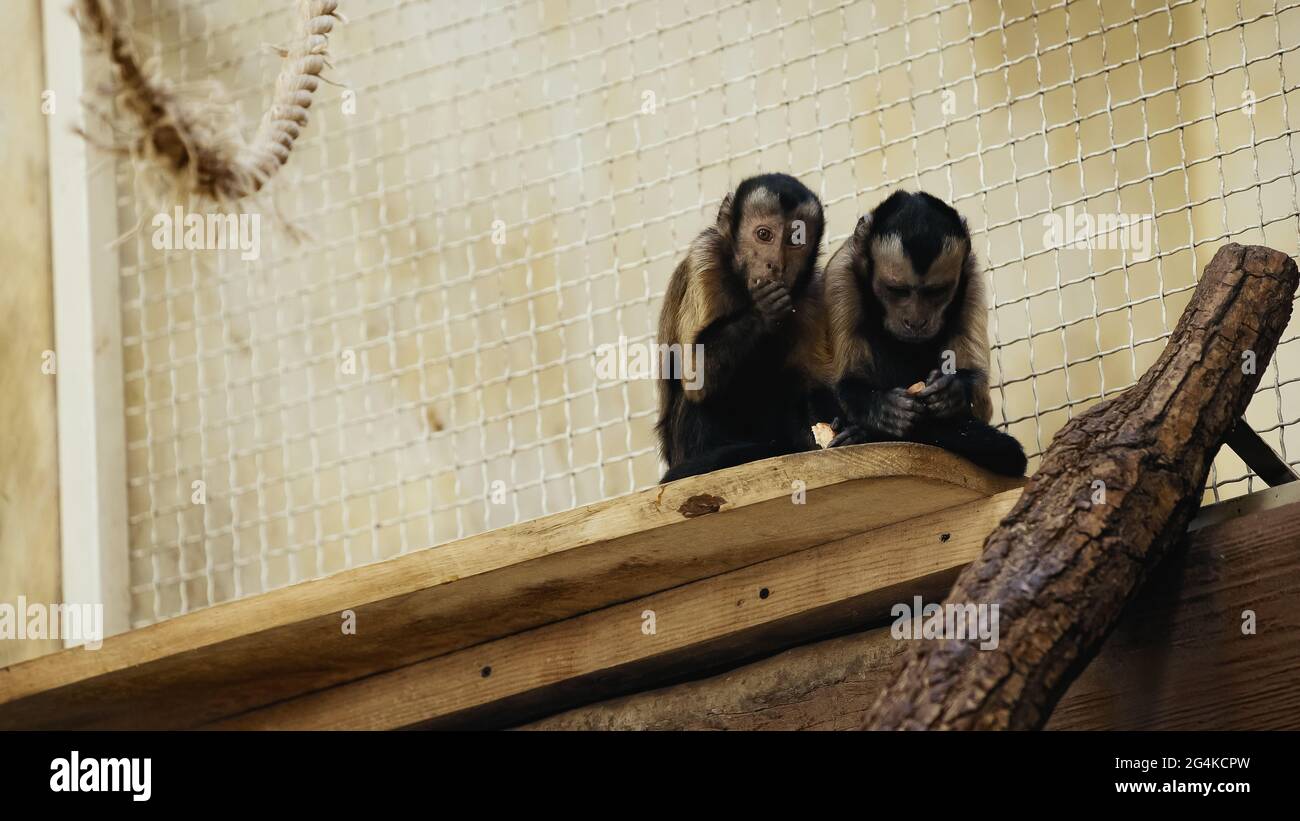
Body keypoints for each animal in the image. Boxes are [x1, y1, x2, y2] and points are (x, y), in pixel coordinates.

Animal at [655, 173, 837, 483]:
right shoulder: (705, 260)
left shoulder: (811, 294)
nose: (775, 265)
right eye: (764, 235)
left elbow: (814, 384)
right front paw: (763, 310)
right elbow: (695, 372)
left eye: (795, 240)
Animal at [821, 190, 1027, 477]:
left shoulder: (972, 276)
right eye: (897, 290)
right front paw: (882, 410)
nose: (916, 321)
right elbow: (844, 383)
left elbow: (982, 404)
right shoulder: (840, 277)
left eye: (936, 291)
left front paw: (952, 391)